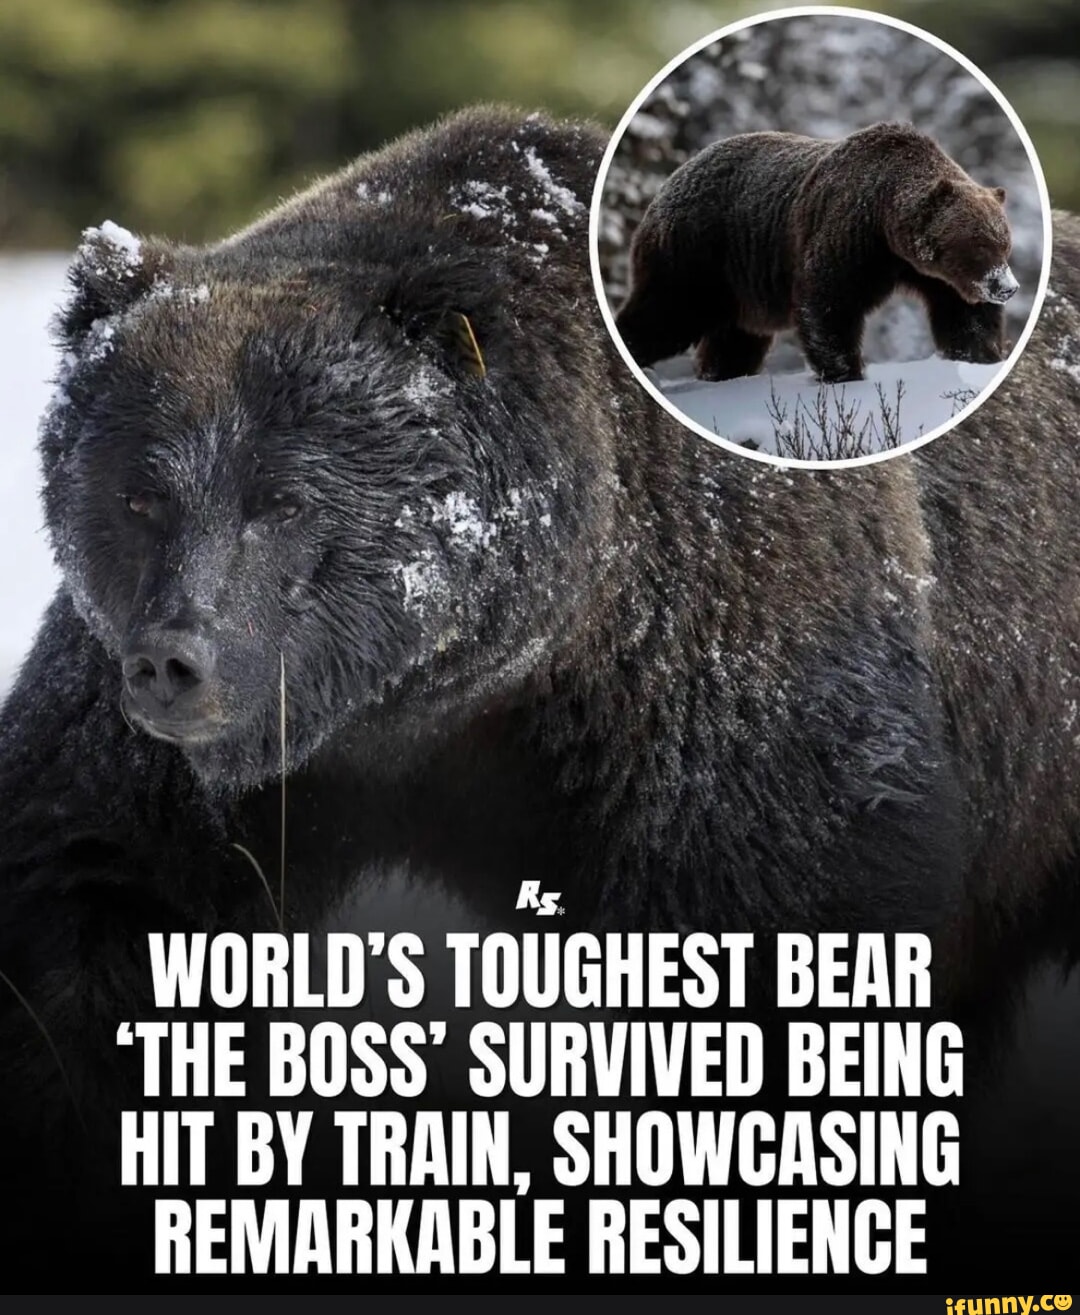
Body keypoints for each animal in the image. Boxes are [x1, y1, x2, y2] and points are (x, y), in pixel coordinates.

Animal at [614, 122, 1018, 383]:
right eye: (979, 244)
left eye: (1005, 243)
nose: (1007, 287)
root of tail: (665, 186)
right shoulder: (850, 233)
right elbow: (828, 300)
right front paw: (846, 371)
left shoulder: (932, 274)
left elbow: (964, 314)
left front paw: (982, 355)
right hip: (699, 252)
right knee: (665, 312)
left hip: (739, 285)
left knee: (734, 340)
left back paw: (721, 373)